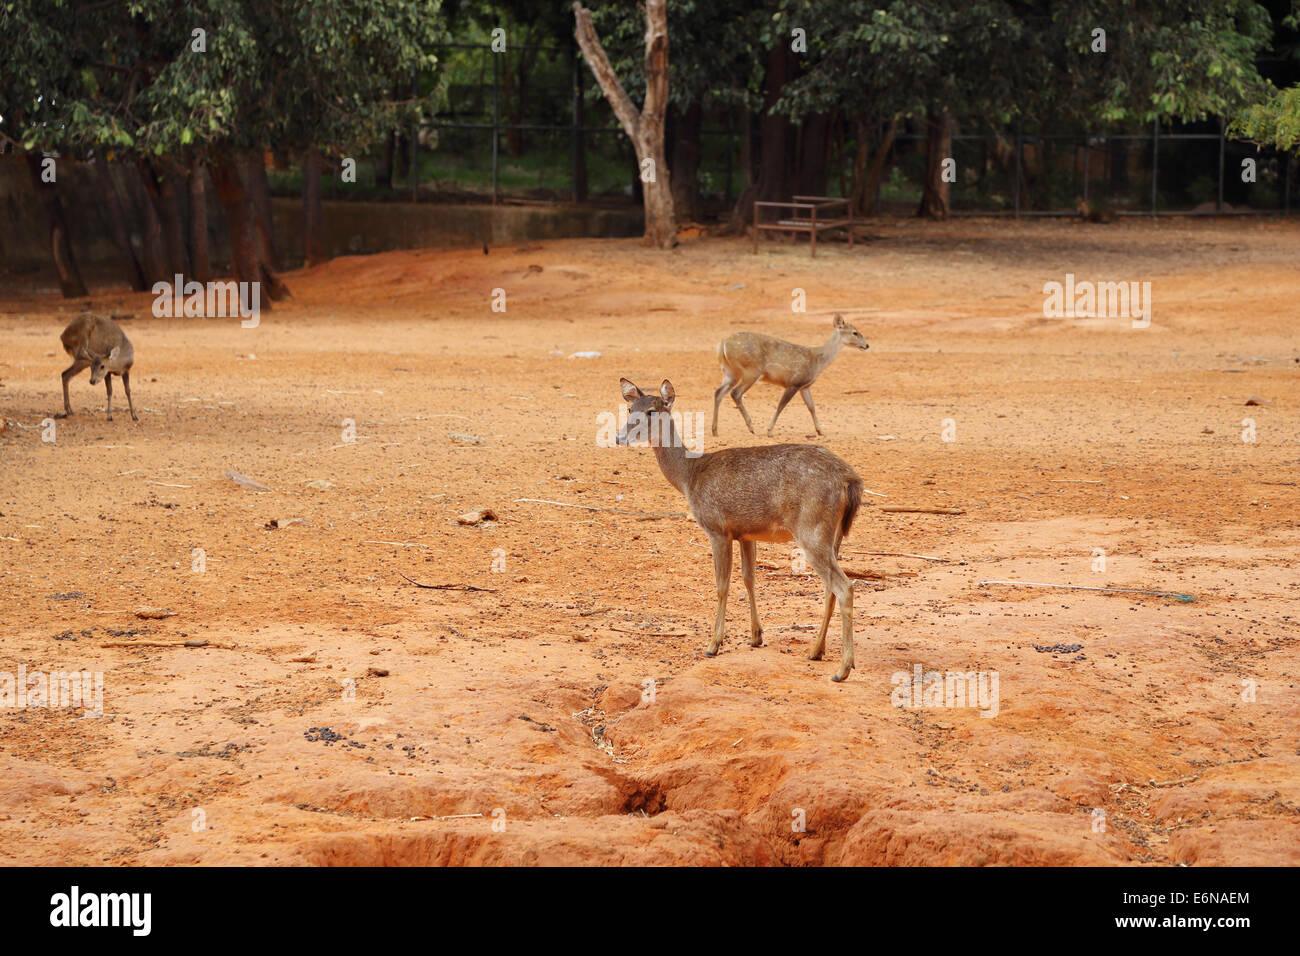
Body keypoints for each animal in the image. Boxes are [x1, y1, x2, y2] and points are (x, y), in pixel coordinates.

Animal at [617, 377, 864, 681]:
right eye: (630, 409)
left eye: (652, 411)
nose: (619, 437)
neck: (689, 476)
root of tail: (850, 480)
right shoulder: (746, 533)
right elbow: (749, 578)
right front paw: (756, 635)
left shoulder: (717, 528)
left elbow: (721, 585)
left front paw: (713, 644)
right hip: (834, 533)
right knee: (832, 586)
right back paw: (816, 650)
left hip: (811, 528)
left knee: (844, 586)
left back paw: (843, 668)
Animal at [712, 313, 869, 438]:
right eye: (855, 332)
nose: (867, 345)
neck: (818, 360)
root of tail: (722, 344)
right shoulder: (794, 382)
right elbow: (781, 405)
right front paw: (769, 431)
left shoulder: (804, 386)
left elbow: (811, 407)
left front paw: (820, 431)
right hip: (750, 370)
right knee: (735, 393)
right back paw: (751, 427)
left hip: (730, 372)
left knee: (718, 392)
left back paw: (715, 430)